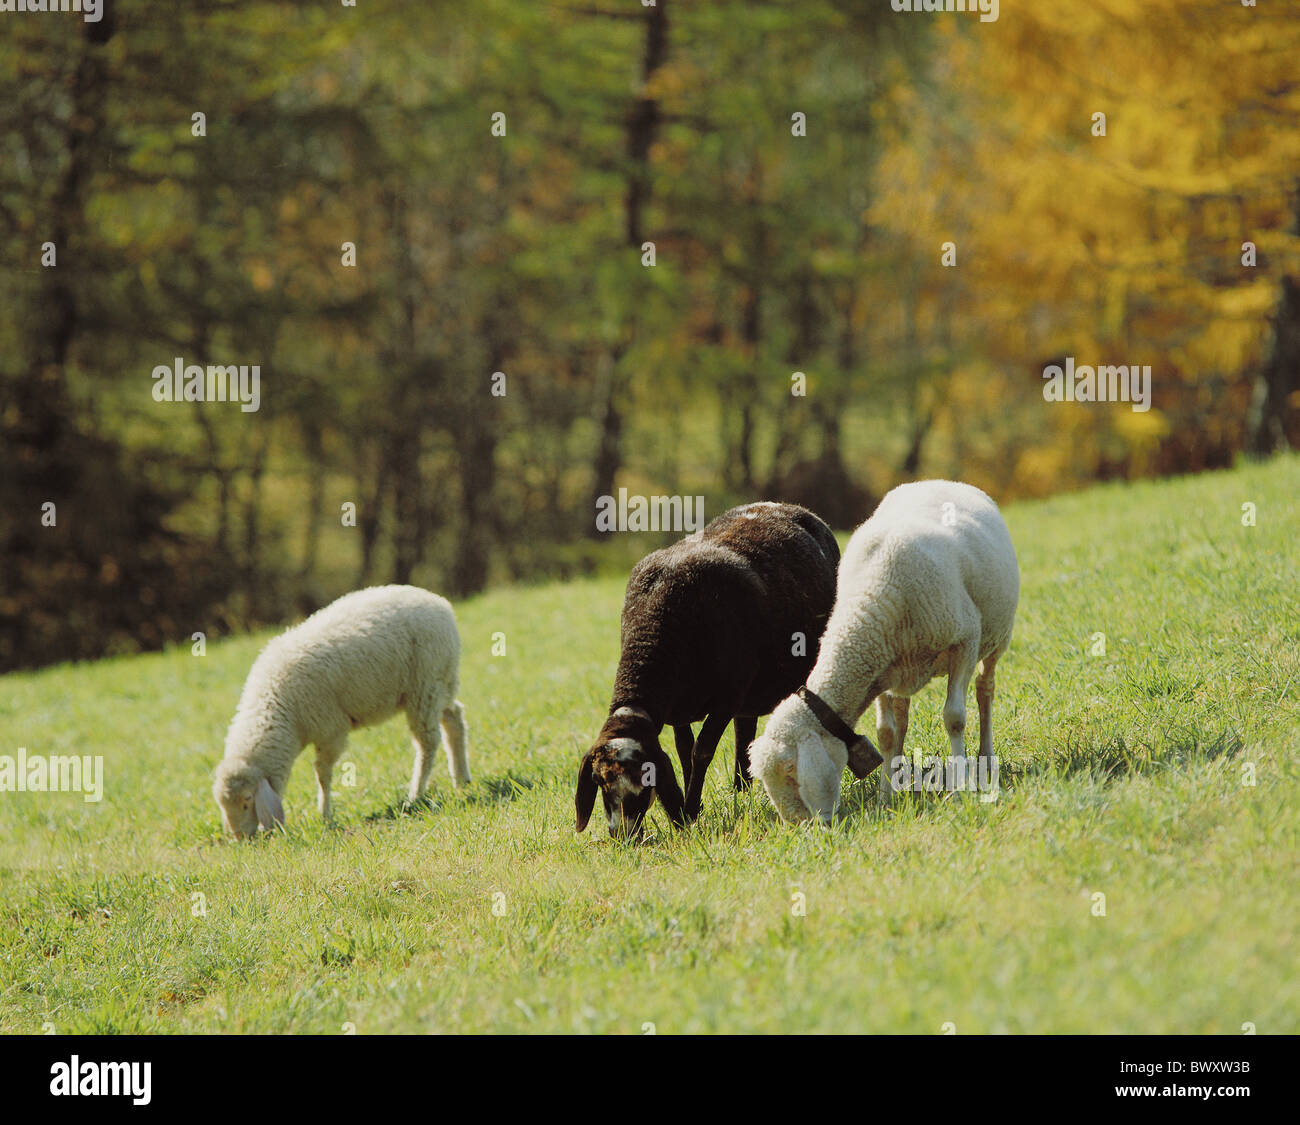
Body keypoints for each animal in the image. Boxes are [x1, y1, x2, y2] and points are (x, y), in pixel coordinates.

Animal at [212, 585, 469, 837]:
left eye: (247, 800)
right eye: (222, 805)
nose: (240, 838)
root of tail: (439, 603)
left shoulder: (330, 731)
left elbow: (322, 774)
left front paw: (325, 815)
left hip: (424, 686)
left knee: (427, 743)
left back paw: (415, 794)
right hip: (442, 683)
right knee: (454, 718)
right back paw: (461, 779)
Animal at [575, 501, 841, 838]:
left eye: (647, 778)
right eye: (599, 781)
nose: (623, 833)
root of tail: (786, 506)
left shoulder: (729, 695)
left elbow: (700, 750)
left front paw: (688, 810)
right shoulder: (678, 709)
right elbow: (683, 749)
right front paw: (693, 805)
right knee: (745, 731)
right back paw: (741, 790)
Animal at [749, 480, 1019, 825]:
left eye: (791, 771)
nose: (802, 828)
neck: (871, 603)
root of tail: (940, 481)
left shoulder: (965, 641)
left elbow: (954, 719)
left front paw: (960, 790)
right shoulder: (879, 670)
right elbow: (887, 733)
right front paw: (885, 798)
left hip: (996, 638)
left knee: (985, 689)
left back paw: (985, 756)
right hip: (903, 671)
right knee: (903, 715)